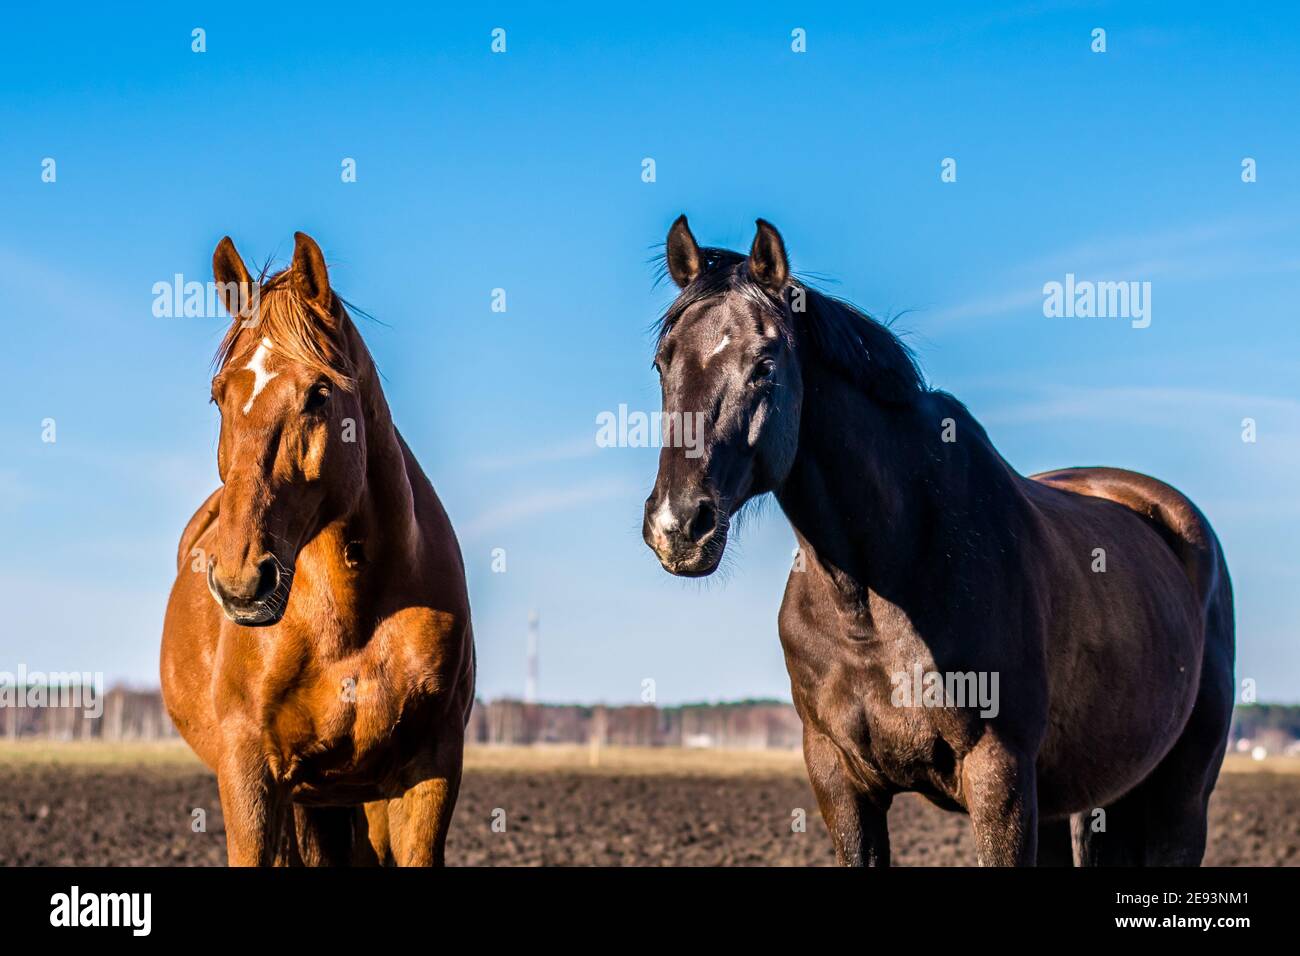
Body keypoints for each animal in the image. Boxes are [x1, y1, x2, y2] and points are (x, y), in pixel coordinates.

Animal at [160, 232, 475, 866]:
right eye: (218, 398)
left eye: (319, 393)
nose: (240, 583)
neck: (352, 617)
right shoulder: (250, 773)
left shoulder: (428, 773)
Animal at [643, 216, 1235, 866]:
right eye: (663, 363)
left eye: (765, 363)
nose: (677, 525)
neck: (874, 596)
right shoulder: (839, 780)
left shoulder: (999, 778)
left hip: (1179, 800)